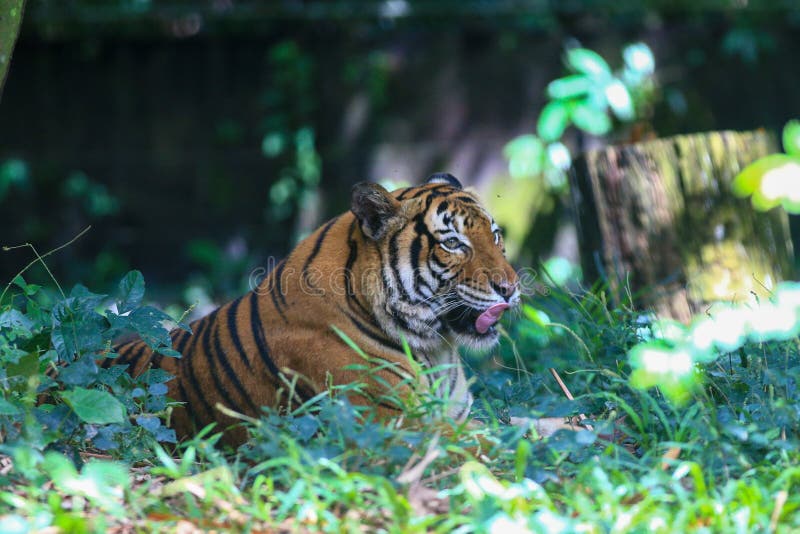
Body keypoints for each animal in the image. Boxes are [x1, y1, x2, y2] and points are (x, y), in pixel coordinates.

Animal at [107, 173, 520, 444]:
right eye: (453, 243)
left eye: (495, 235)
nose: (511, 287)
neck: (437, 349)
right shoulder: (392, 422)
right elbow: (497, 443)